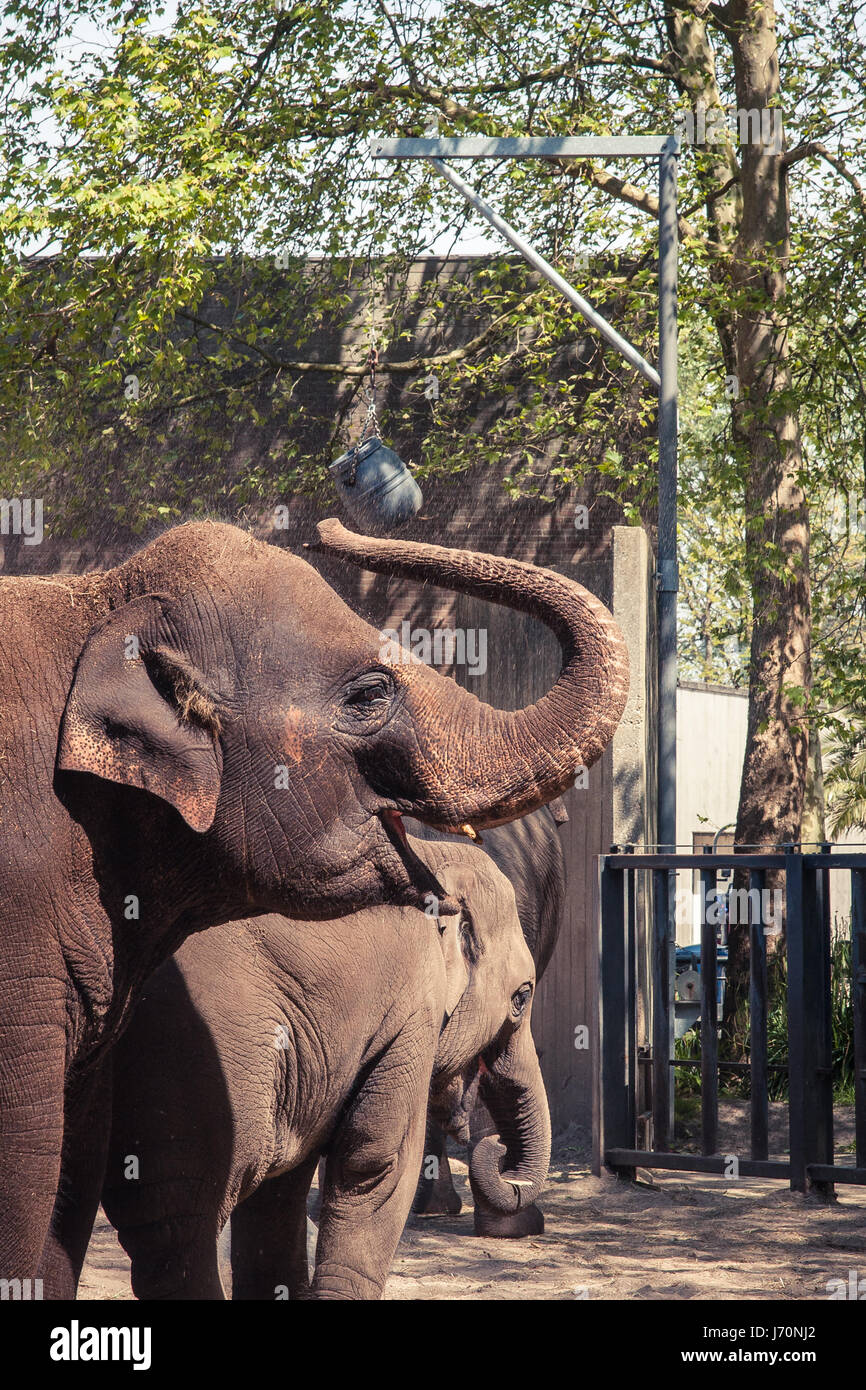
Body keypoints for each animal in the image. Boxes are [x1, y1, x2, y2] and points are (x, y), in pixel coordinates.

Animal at [101, 837, 549, 1300]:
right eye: (522, 997)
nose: (496, 1149)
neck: (433, 852)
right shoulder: (409, 1008)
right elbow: (376, 1161)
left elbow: (282, 1190)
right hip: (202, 1047)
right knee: (182, 1218)